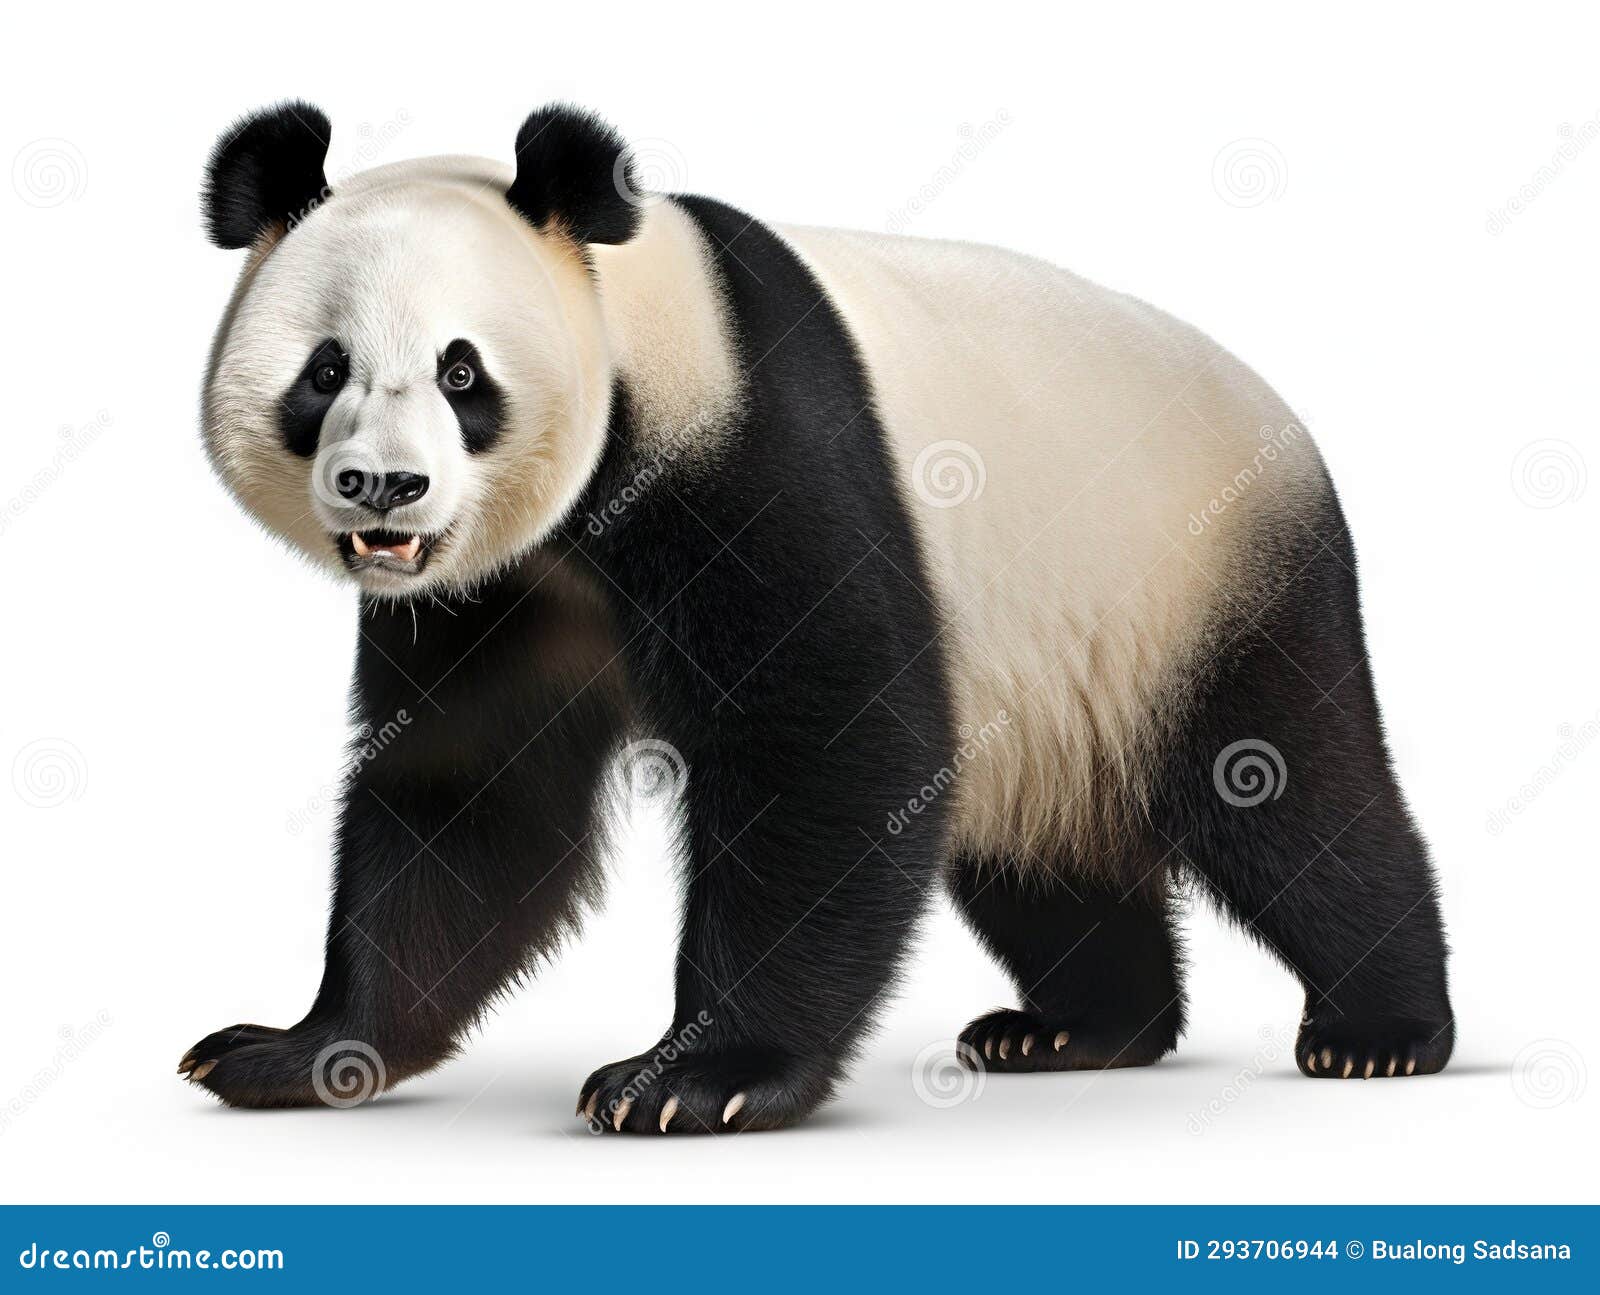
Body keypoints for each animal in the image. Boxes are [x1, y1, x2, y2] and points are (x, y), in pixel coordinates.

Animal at [181, 101, 1454, 1131]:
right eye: (323, 370)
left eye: (460, 372)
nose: (383, 488)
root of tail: (1283, 418)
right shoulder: (497, 588)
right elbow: (470, 791)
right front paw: (300, 1051)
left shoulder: (757, 439)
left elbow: (827, 733)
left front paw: (693, 1078)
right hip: (1047, 674)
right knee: (1037, 847)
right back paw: (1078, 1027)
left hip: (1194, 576)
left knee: (1287, 786)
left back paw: (1377, 1030)